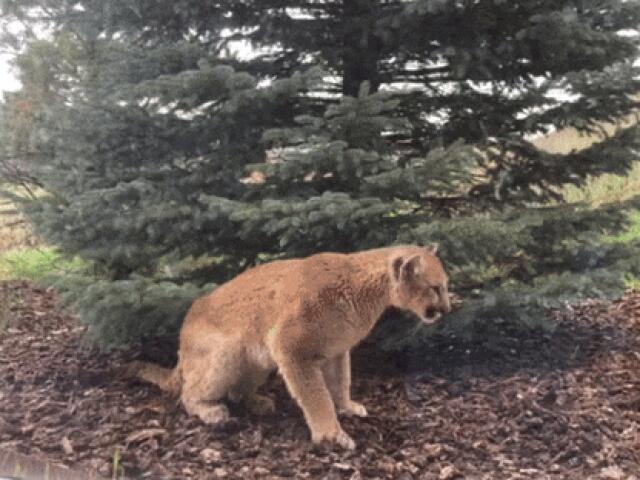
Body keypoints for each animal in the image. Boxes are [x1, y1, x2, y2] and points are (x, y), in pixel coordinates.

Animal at [128, 244, 451, 449]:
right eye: (436, 287)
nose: (448, 309)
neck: (369, 292)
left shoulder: (337, 350)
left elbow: (341, 382)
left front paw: (346, 407)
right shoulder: (290, 348)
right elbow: (316, 395)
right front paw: (331, 434)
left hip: (258, 361)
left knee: (236, 391)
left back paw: (258, 402)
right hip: (226, 353)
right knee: (188, 392)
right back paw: (211, 411)